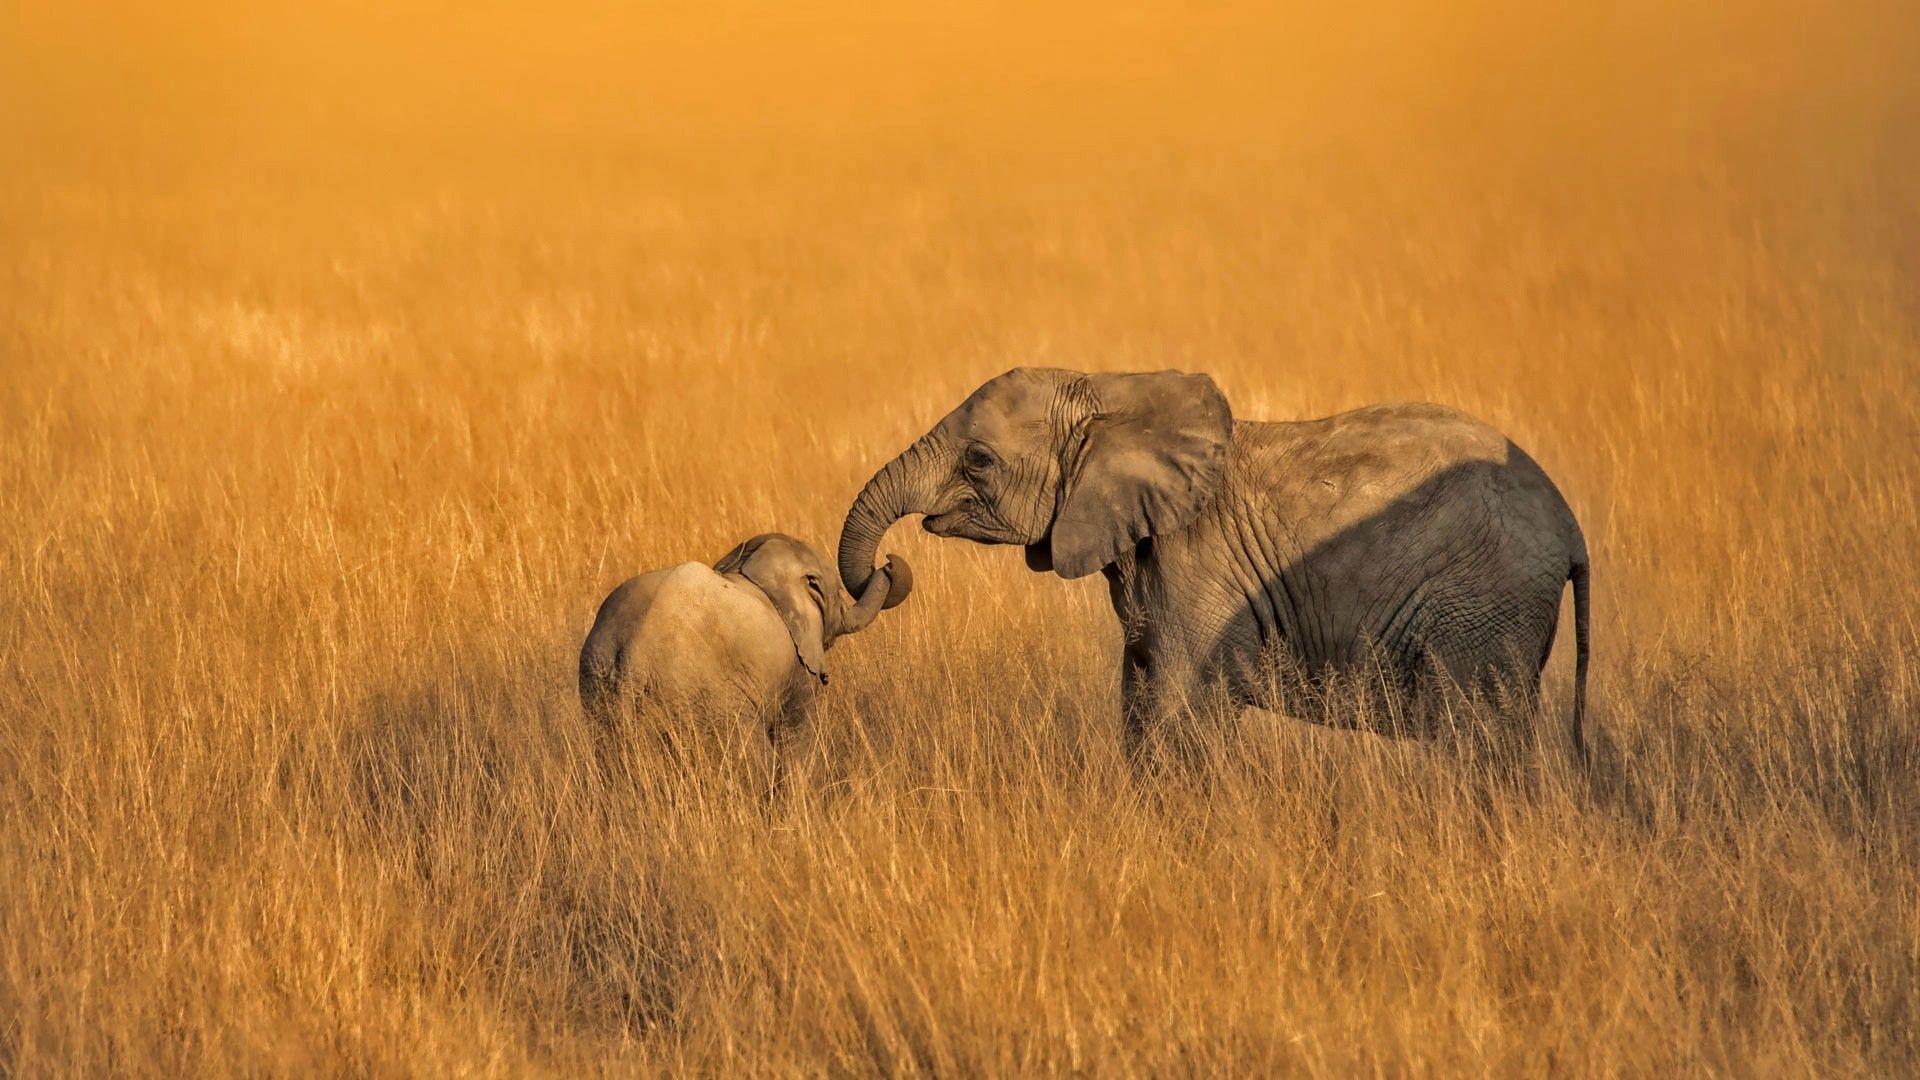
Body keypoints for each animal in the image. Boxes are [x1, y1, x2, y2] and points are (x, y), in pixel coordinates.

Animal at [580, 533, 911, 786]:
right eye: (836, 594)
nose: (888, 562)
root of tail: (634, 655)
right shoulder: (798, 669)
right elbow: (798, 738)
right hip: (707, 702)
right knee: (754, 762)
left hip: (599, 682)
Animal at [838, 368, 1591, 756]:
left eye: (979, 461)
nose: (890, 568)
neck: (1112, 394)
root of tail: (1570, 525)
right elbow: (1140, 695)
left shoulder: (1197, 565)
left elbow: (1176, 707)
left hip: (1482, 603)